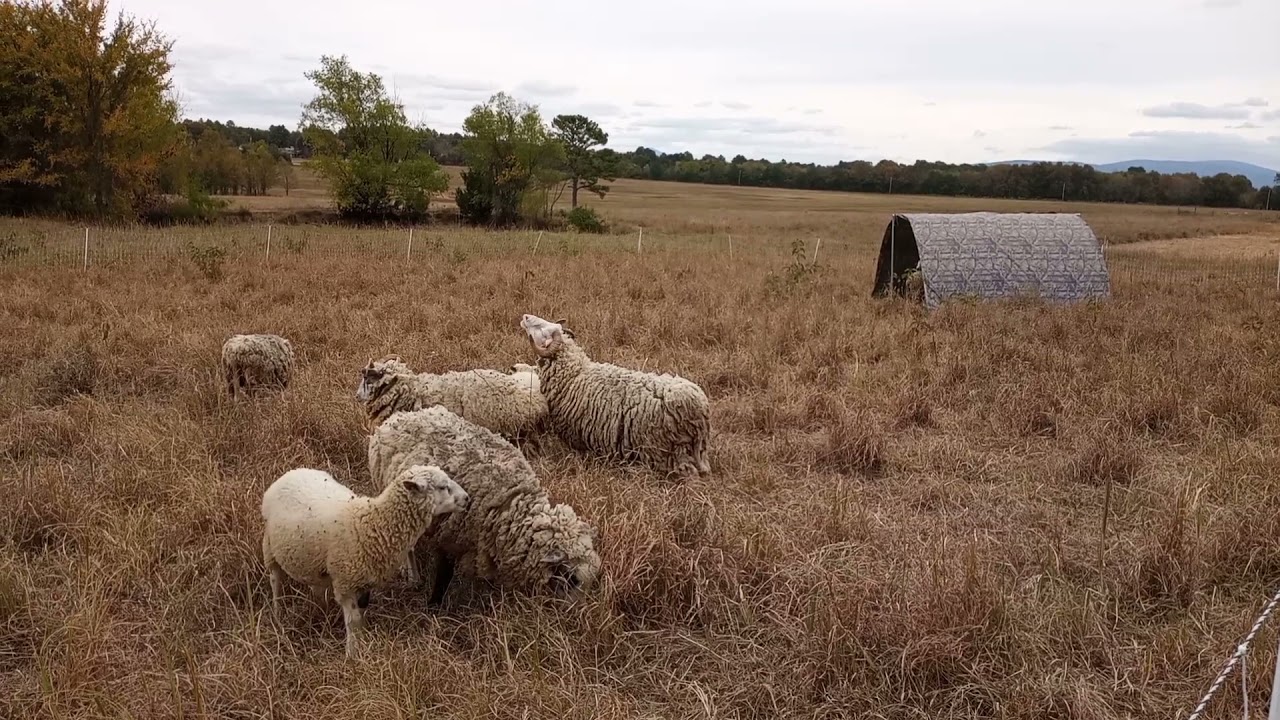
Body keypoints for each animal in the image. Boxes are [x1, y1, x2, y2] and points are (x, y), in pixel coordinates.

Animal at [260, 464, 470, 658]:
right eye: (442, 486)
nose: (467, 498)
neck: (373, 523)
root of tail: (292, 472)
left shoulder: (366, 580)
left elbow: (362, 615)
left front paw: (365, 640)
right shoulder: (345, 583)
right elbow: (353, 621)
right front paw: (352, 655)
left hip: (312, 558)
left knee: (315, 586)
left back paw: (321, 609)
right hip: (269, 548)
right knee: (275, 580)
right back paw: (278, 614)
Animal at [367, 405, 601, 606]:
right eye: (572, 578)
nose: (574, 612)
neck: (512, 502)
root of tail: (401, 415)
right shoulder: (449, 536)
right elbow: (444, 575)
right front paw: (434, 605)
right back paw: (413, 578)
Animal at [520, 313, 712, 478]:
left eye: (542, 330)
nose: (525, 317)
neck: (574, 373)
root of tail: (699, 407)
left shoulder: (576, 438)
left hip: (668, 451)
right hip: (696, 452)